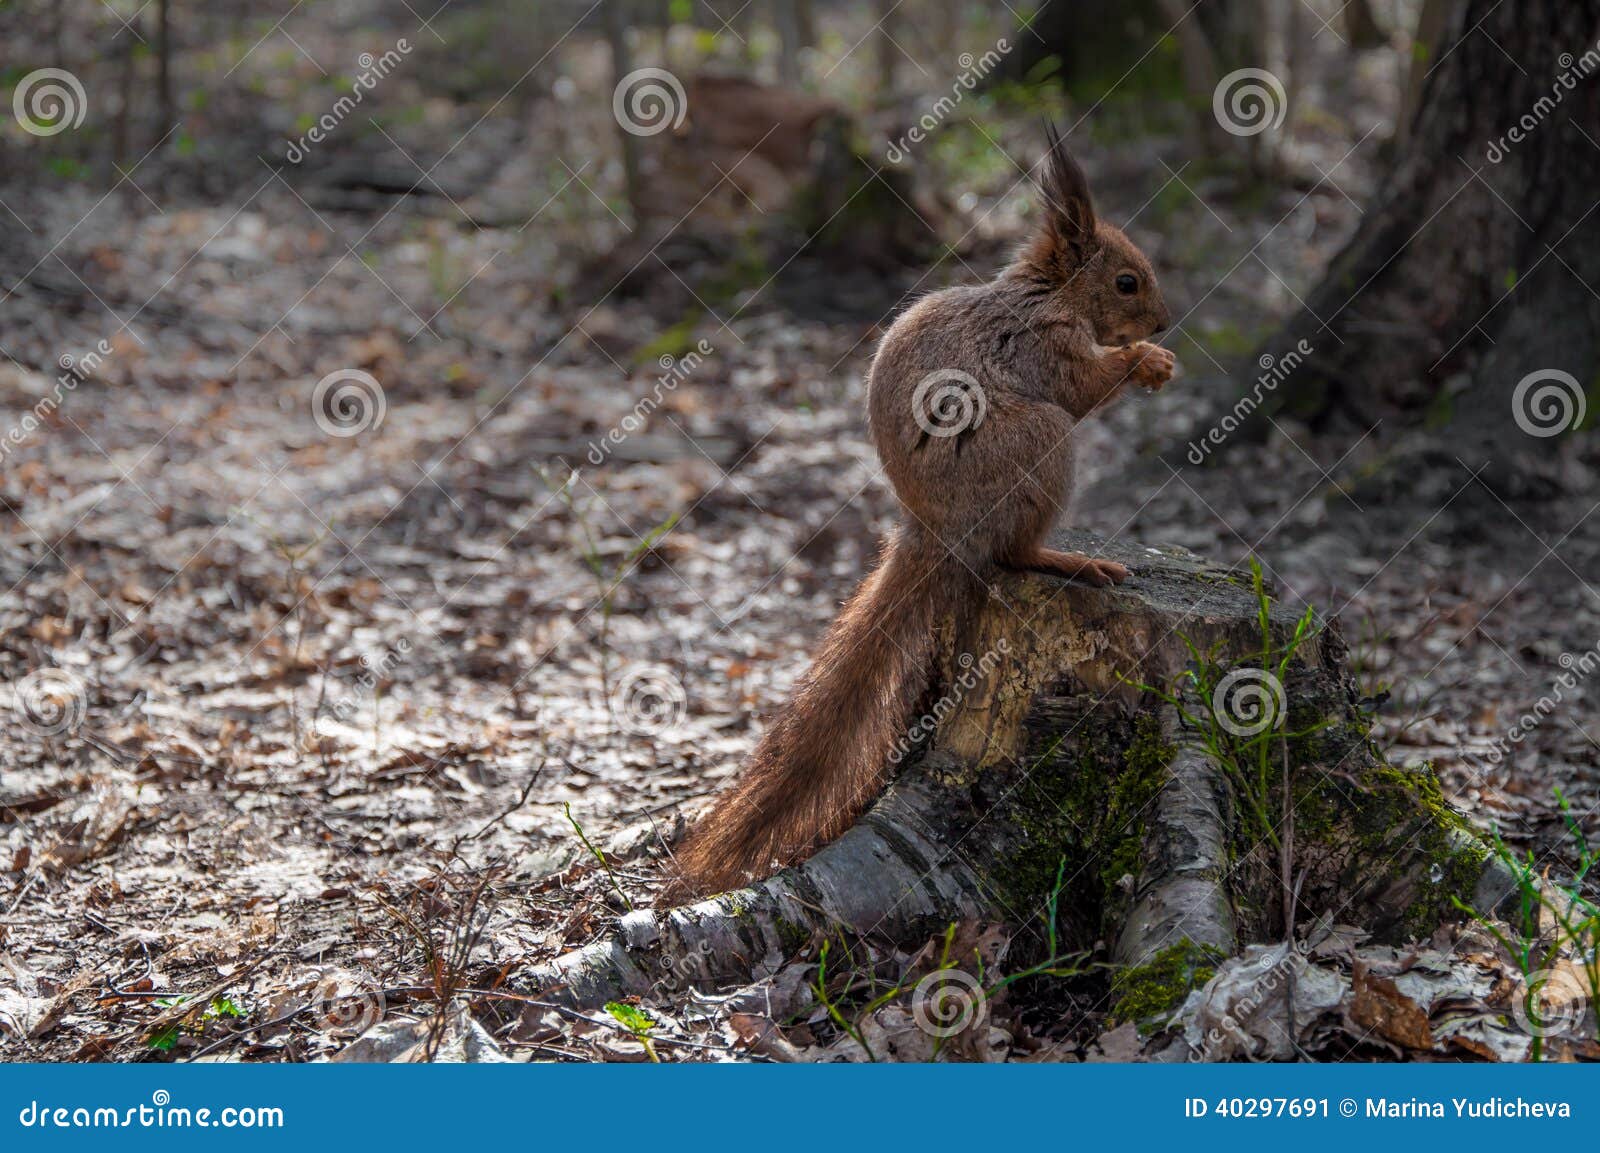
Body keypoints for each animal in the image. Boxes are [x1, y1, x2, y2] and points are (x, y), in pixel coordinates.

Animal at [671, 128, 1175, 898]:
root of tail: (936, 530)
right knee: (1014, 551)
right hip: (1042, 443)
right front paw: (1146, 359)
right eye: (1127, 282)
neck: (1046, 296)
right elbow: (1083, 384)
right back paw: (1071, 559)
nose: (1164, 321)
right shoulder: (1046, 349)